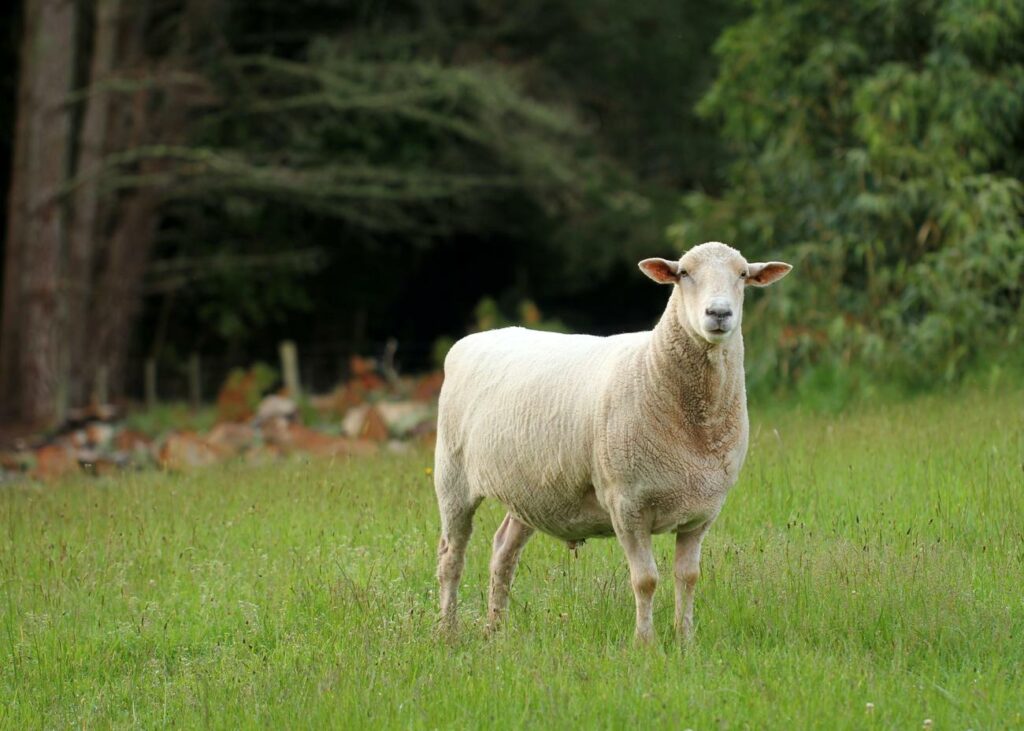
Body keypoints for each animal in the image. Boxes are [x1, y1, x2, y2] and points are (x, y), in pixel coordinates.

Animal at [433, 241, 792, 642]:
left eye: (743, 274)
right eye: (683, 273)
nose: (718, 313)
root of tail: (474, 339)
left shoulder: (702, 512)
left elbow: (688, 577)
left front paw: (685, 640)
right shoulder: (627, 504)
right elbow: (646, 580)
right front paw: (645, 643)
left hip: (529, 490)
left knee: (503, 552)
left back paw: (495, 630)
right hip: (452, 476)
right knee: (451, 557)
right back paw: (447, 630)